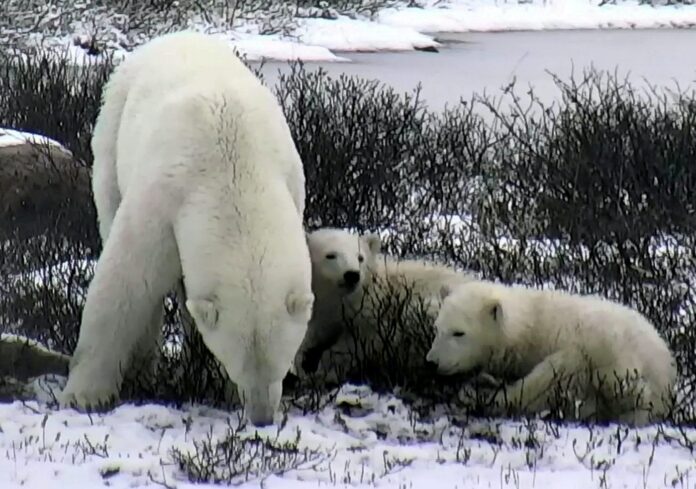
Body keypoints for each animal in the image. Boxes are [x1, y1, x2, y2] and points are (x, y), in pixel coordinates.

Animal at [59, 31, 314, 427]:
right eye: (238, 364)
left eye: (281, 367)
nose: (262, 417)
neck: (234, 162)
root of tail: (174, 36)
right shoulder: (165, 195)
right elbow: (126, 280)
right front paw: (85, 395)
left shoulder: (289, 179)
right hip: (112, 133)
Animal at [292, 228, 476, 386]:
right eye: (330, 255)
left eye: (360, 257)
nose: (352, 275)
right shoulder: (323, 311)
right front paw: (299, 364)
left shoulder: (377, 312)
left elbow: (360, 342)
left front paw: (323, 370)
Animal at [426, 280, 678, 426]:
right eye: (437, 328)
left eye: (459, 333)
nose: (432, 362)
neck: (534, 327)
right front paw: (485, 382)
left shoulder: (577, 348)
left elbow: (547, 380)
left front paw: (487, 395)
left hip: (618, 361)